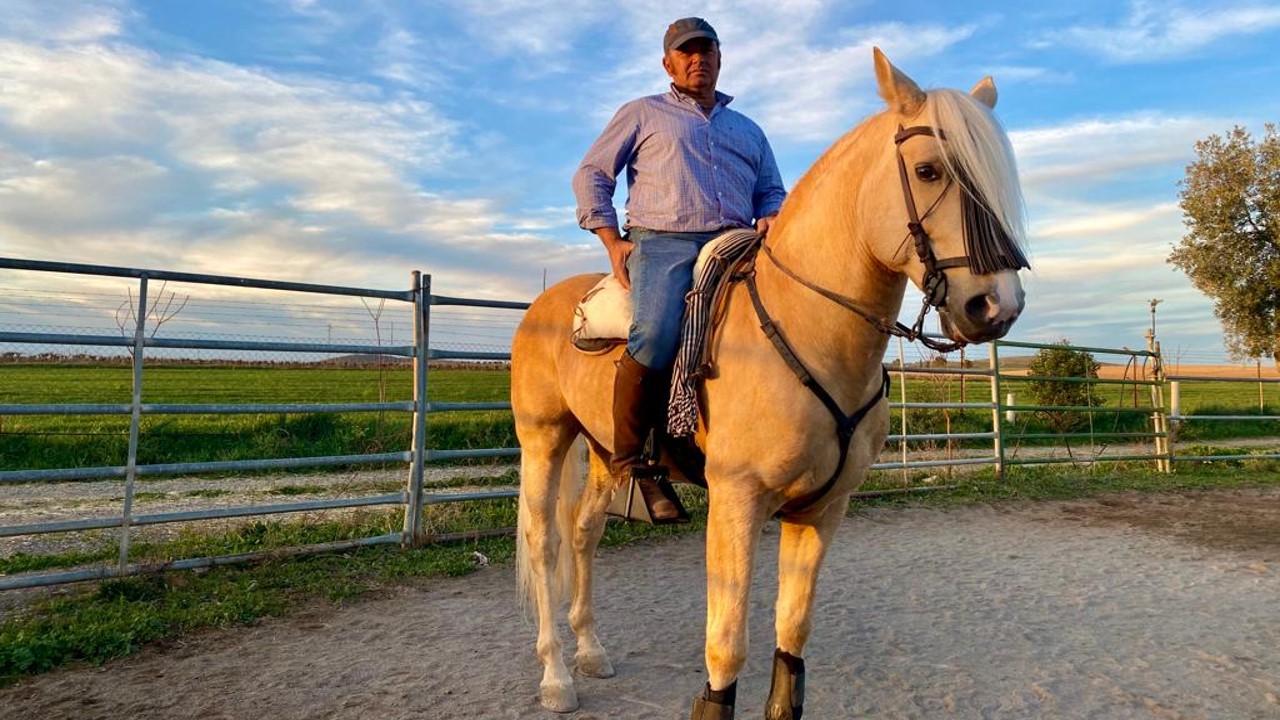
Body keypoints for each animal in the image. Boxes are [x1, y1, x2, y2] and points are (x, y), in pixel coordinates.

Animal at [511, 48, 1029, 719]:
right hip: (544, 440)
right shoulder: (737, 500)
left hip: (604, 453)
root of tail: (549, 305)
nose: (998, 306)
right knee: (545, 544)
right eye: (928, 169)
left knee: (584, 534)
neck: (804, 324)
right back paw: (556, 676)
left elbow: (793, 631)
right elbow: (727, 644)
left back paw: (591, 651)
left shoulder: (822, 509)